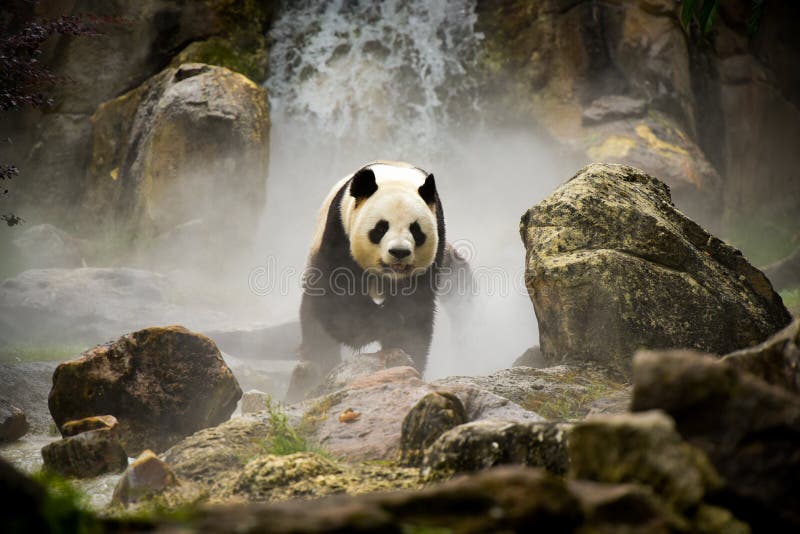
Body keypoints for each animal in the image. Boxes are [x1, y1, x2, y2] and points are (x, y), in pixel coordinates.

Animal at [296, 160, 445, 383]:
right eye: (381, 227)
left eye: (415, 229)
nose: (399, 252)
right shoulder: (339, 232)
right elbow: (340, 305)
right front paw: (389, 318)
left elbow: (415, 310)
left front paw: (403, 351)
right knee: (313, 315)